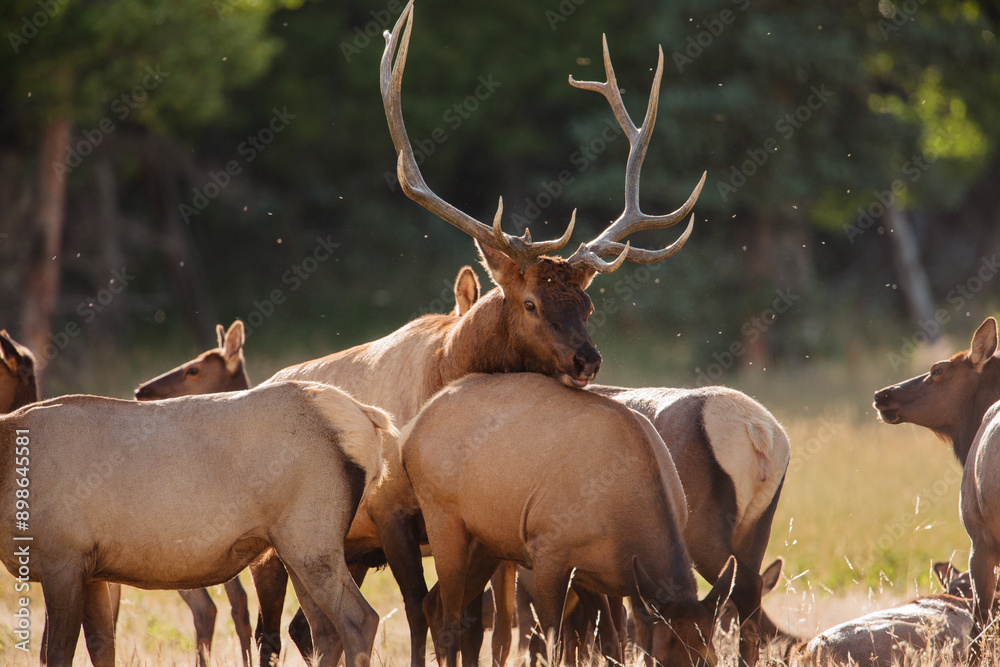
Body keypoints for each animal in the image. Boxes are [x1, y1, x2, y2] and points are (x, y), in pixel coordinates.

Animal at [0, 380, 393, 667]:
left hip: (309, 539)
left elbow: (55, 653)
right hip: (294, 548)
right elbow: (101, 648)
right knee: (324, 630)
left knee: (359, 619)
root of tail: (367, 418)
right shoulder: (92, 571)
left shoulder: (63, 559)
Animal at [399, 371, 738, 667]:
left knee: (433, 603)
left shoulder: (596, 572)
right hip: (443, 519)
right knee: (449, 619)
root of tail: (411, 431)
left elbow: (612, 643)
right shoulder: (549, 554)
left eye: (710, 659)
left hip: (487, 543)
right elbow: (554, 645)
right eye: (664, 657)